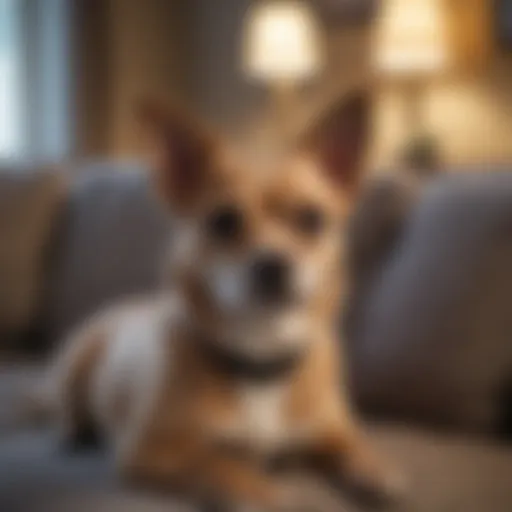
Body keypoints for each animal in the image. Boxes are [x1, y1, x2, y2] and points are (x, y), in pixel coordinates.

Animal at [50, 94, 406, 510]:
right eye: (223, 221)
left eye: (312, 219)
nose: (272, 263)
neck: (260, 360)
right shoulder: (153, 451)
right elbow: (222, 465)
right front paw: (268, 495)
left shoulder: (331, 430)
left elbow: (352, 446)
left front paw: (379, 470)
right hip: (78, 358)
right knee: (67, 407)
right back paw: (75, 432)